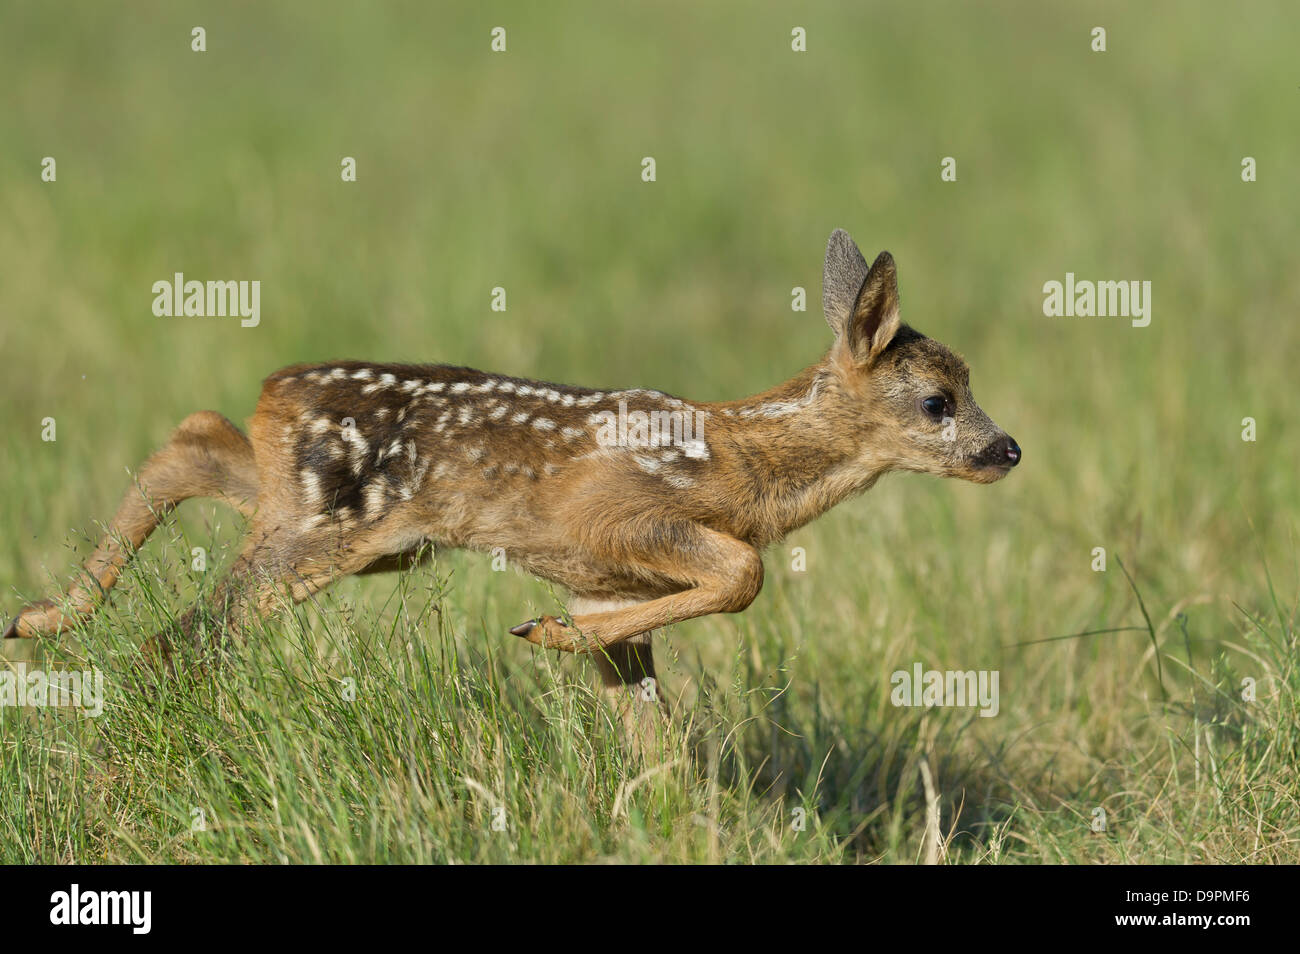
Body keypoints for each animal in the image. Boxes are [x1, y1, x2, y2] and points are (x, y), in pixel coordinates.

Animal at [4, 229, 1020, 749]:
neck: (741, 466)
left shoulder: (610, 583)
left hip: (331, 520)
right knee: (178, 639)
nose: (1006, 448)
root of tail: (277, 390)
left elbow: (653, 736)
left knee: (197, 437)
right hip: (326, 530)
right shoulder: (618, 518)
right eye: (938, 400)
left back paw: (38, 617)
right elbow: (744, 574)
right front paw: (539, 631)